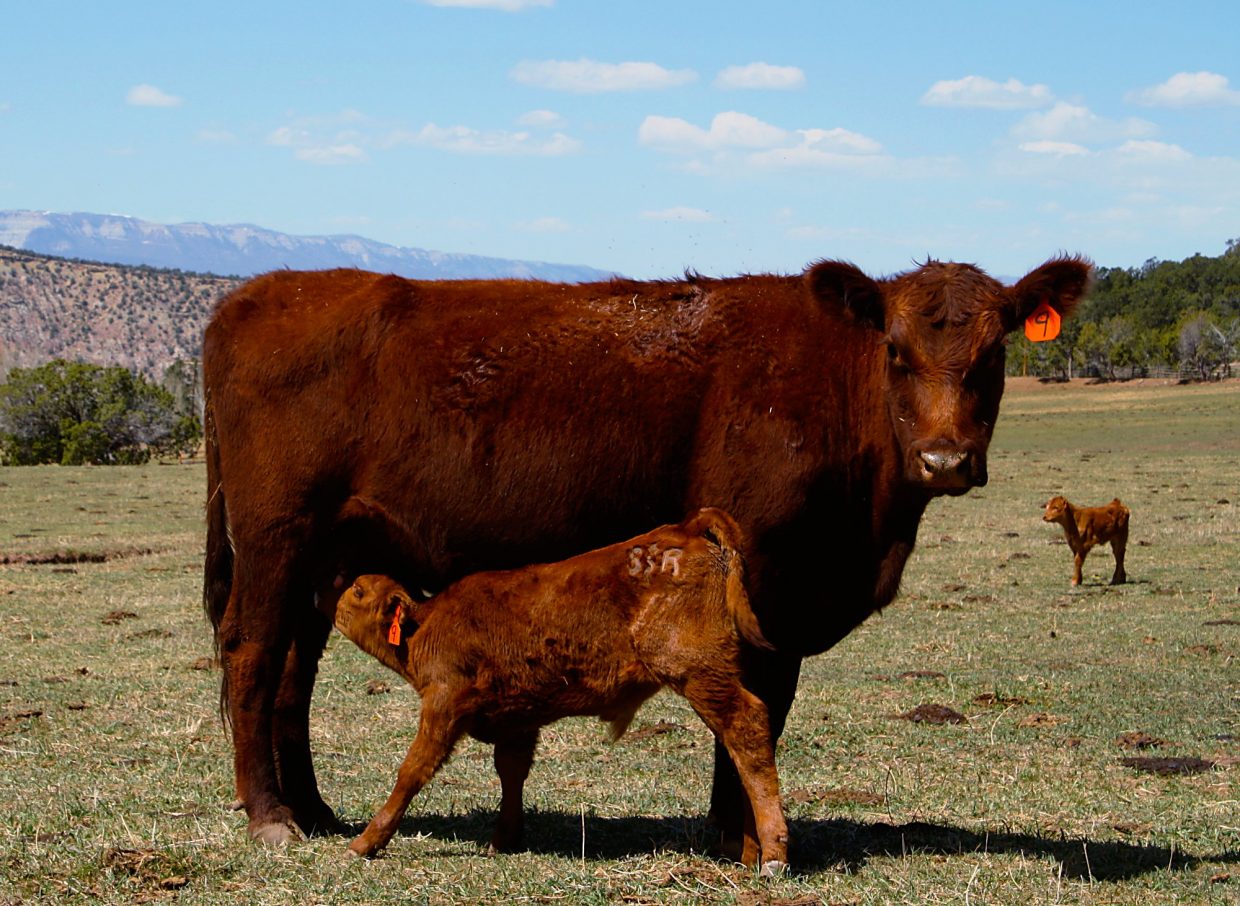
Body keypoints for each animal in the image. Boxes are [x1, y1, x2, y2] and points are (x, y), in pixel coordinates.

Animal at [317, 508, 788, 872]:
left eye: (357, 590)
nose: (324, 600)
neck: (429, 624)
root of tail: (684, 528)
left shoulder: (443, 704)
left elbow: (412, 772)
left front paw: (366, 842)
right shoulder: (516, 721)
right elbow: (511, 772)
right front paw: (504, 838)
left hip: (700, 675)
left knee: (747, 730)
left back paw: (773, 854)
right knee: (740, 747)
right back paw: (751, 853)